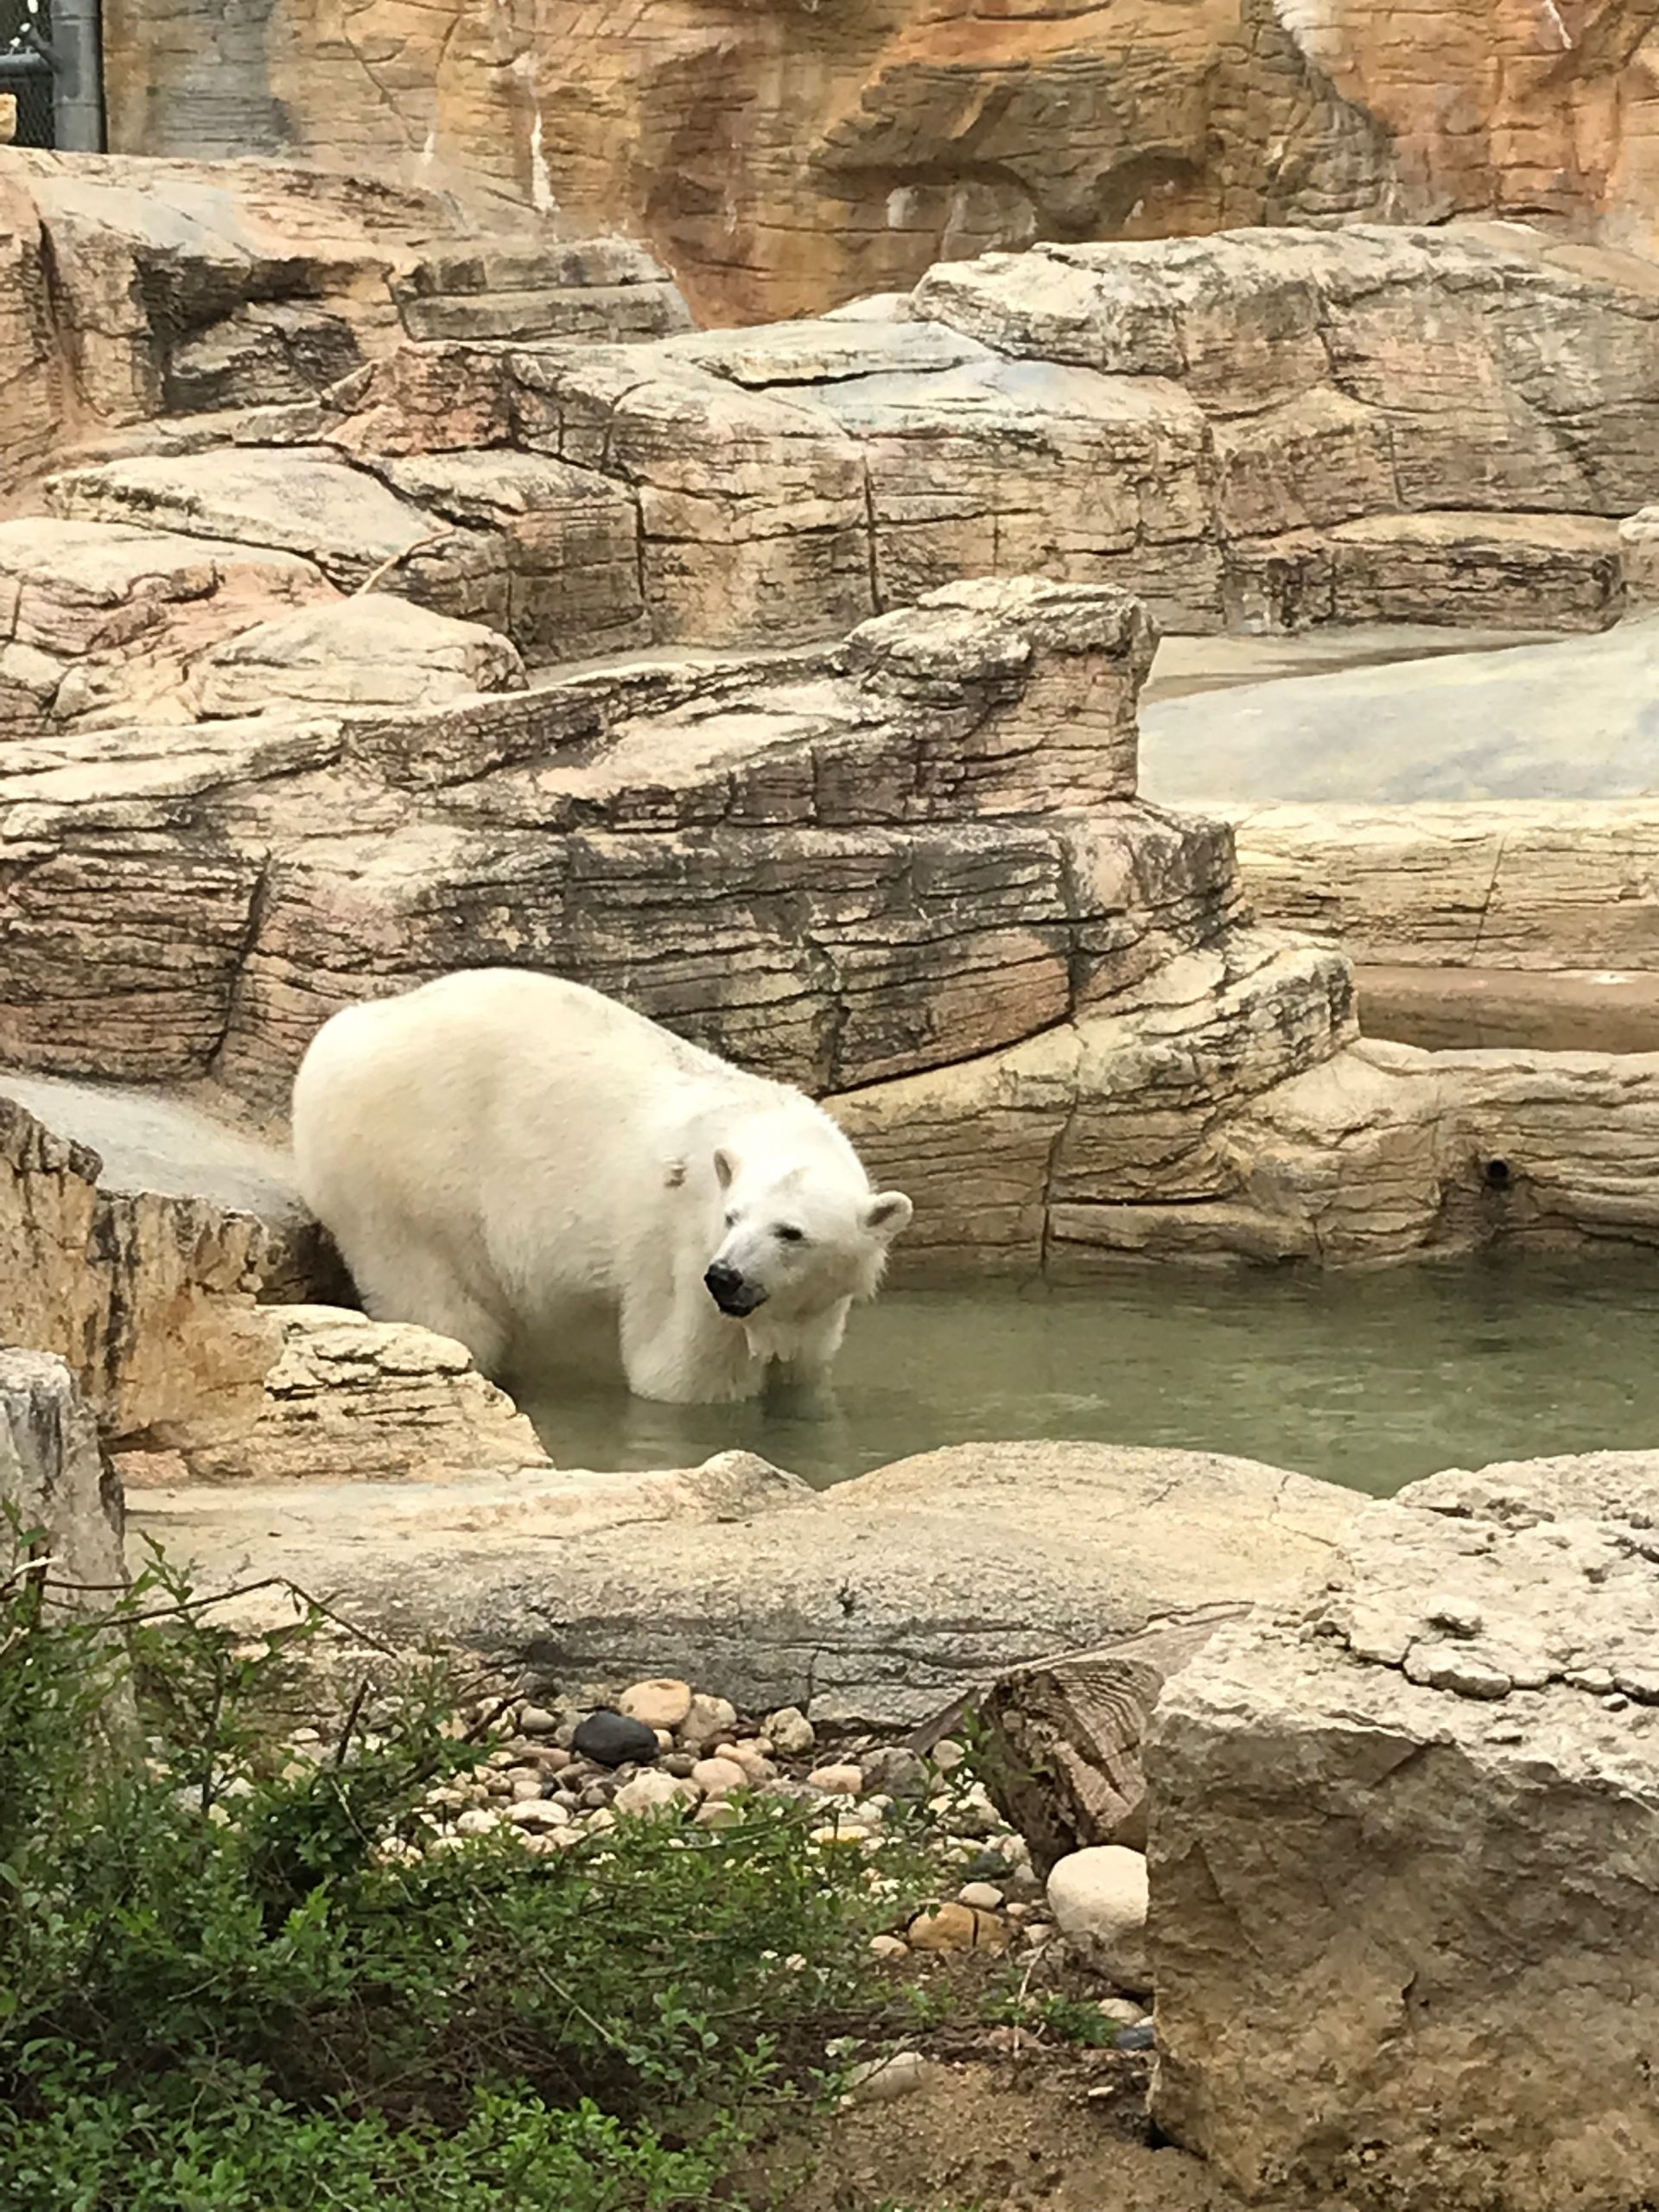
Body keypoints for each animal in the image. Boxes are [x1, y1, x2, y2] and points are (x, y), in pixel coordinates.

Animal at [290, 968, 913, 1406]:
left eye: (792, 1232)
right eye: (733, 1216)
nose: (726, 1276)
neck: (765, 1120)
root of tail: (336, 1041)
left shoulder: (814, 1302)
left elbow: (801, 1368)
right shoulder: (682, 1254)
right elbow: (679, 1375)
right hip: (411, 1183)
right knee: (444, 1306)